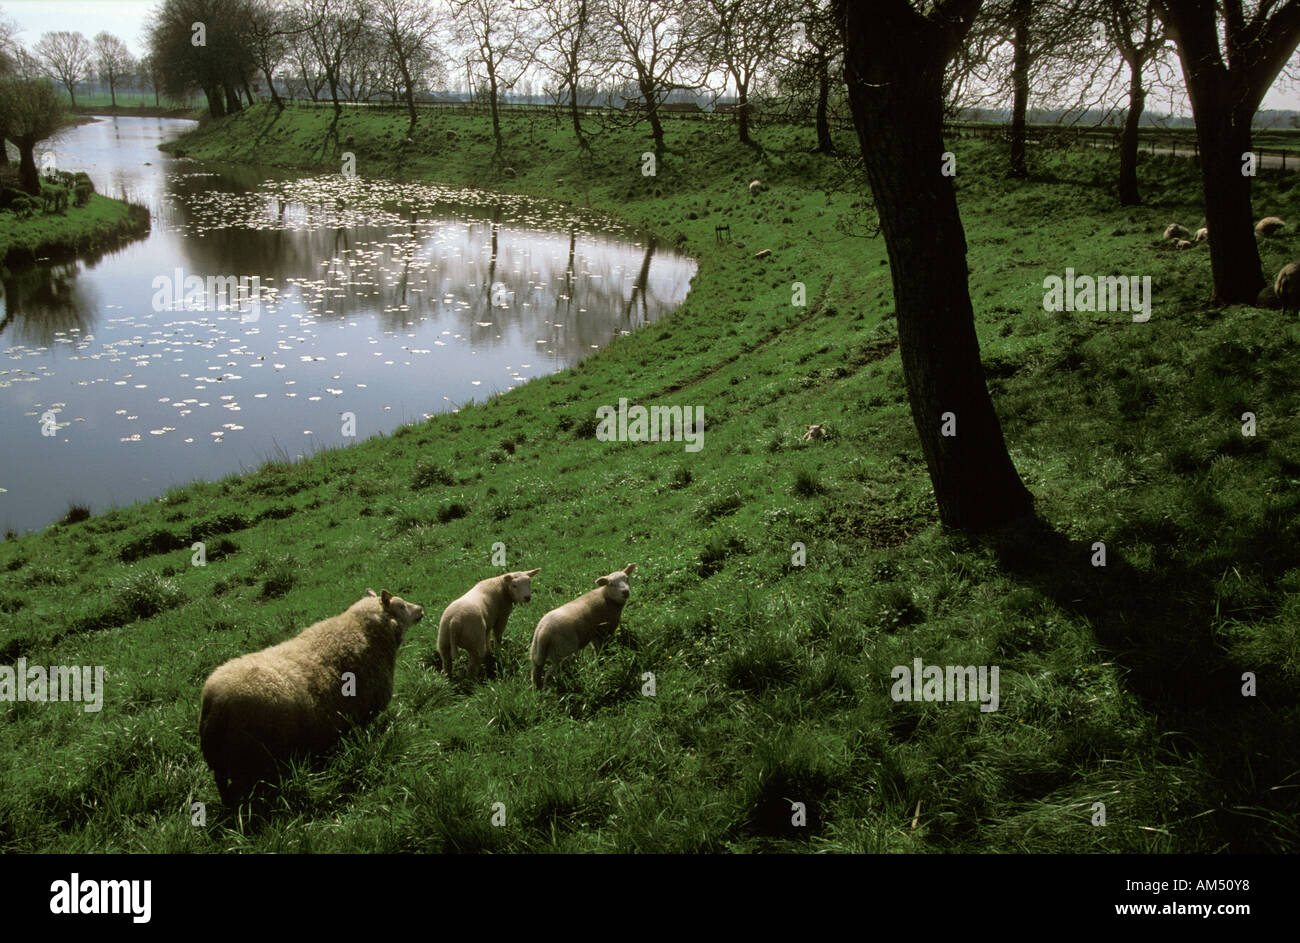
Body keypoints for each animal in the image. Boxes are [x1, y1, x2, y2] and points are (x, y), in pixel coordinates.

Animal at [199, 589, 424, 804]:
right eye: (401, 605)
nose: (420, 609)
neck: (363, 630)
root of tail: (214, 700)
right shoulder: (363, 715)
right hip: (250, 759)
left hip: (222, 762)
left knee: (221, 784)